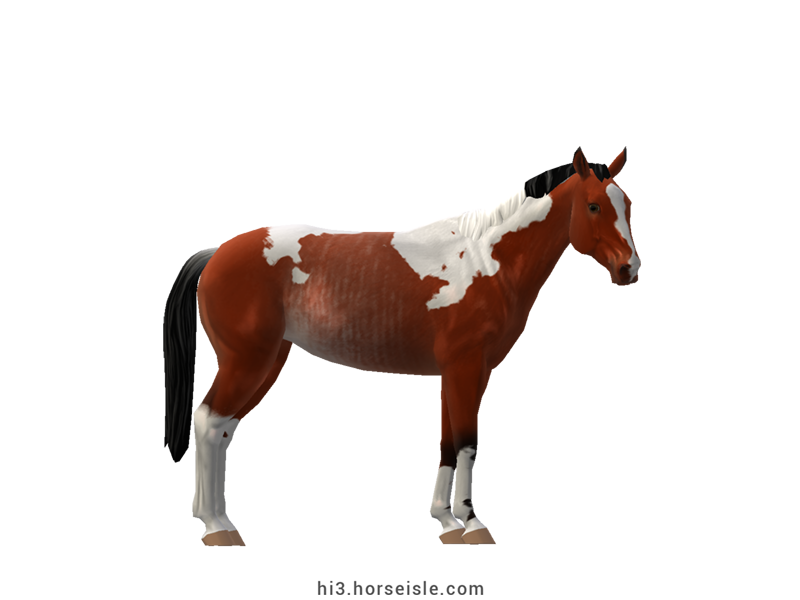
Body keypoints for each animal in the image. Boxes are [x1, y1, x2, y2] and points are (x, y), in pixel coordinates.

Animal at [163, 148, 640, 540]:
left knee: (211, 425)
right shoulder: (466, 365)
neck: (488, 263)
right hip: (246, 361)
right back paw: (212, 524)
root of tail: (215, 256)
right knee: (207, 423)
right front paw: (469, 519)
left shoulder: (459, 369)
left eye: (622, 203)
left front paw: (444, 518)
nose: (629, 268)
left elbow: (448, 440)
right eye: (594, 205)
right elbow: (466, 439)